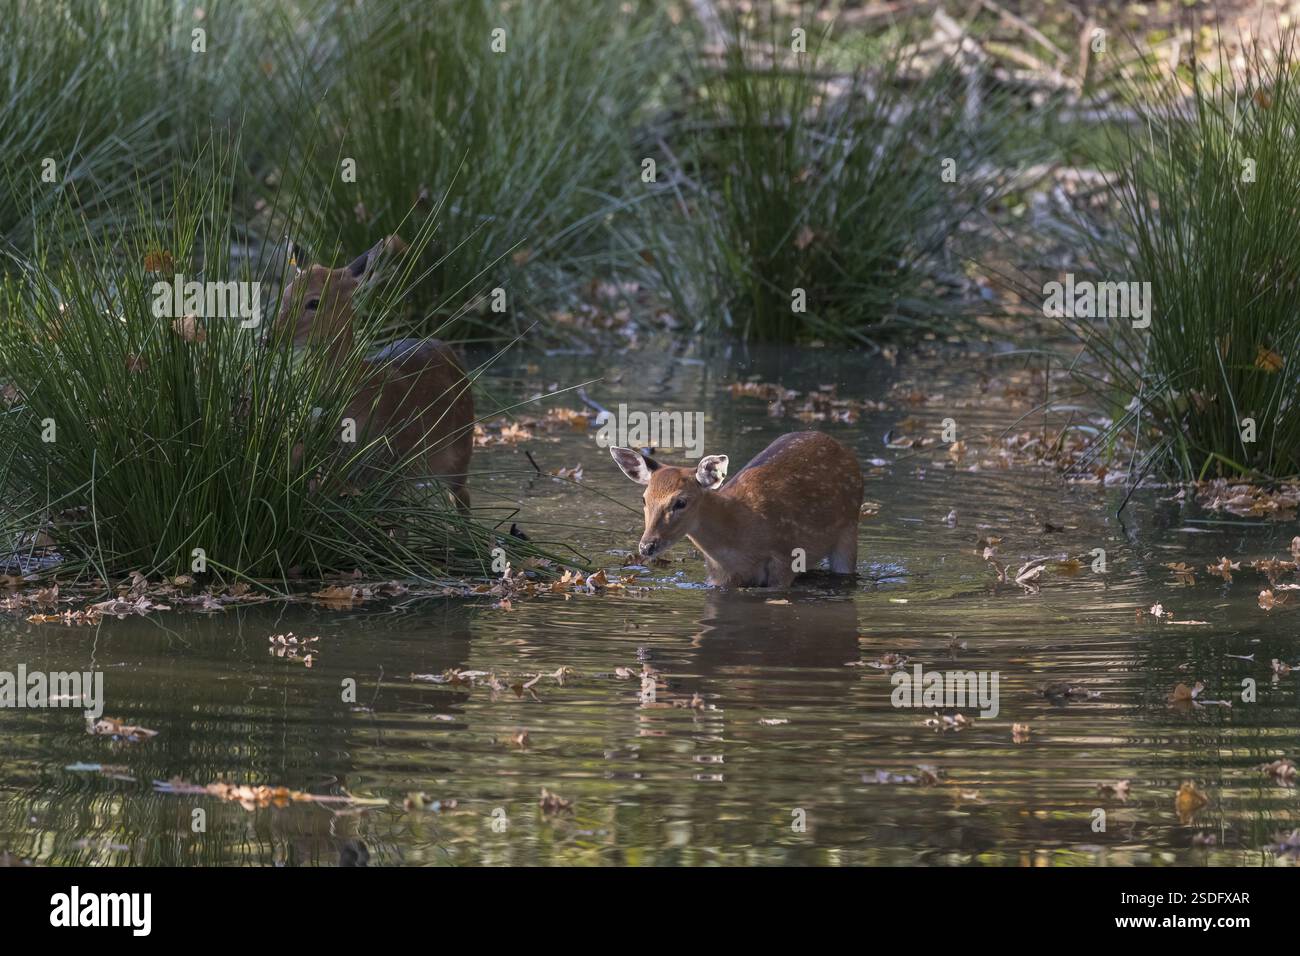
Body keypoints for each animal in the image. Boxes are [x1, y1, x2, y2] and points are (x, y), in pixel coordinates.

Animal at [271, 237, 475, 509]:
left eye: (314, 302)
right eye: (285, 295)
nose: (269, 337)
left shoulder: (392, 461)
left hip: (459, 451)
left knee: (463, 497)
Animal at [611, 431, 863, 588]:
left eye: (680, 502)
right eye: (644, 499)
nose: (647, 546)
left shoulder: (786, 556)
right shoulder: (719, 574)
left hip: (849, 527)